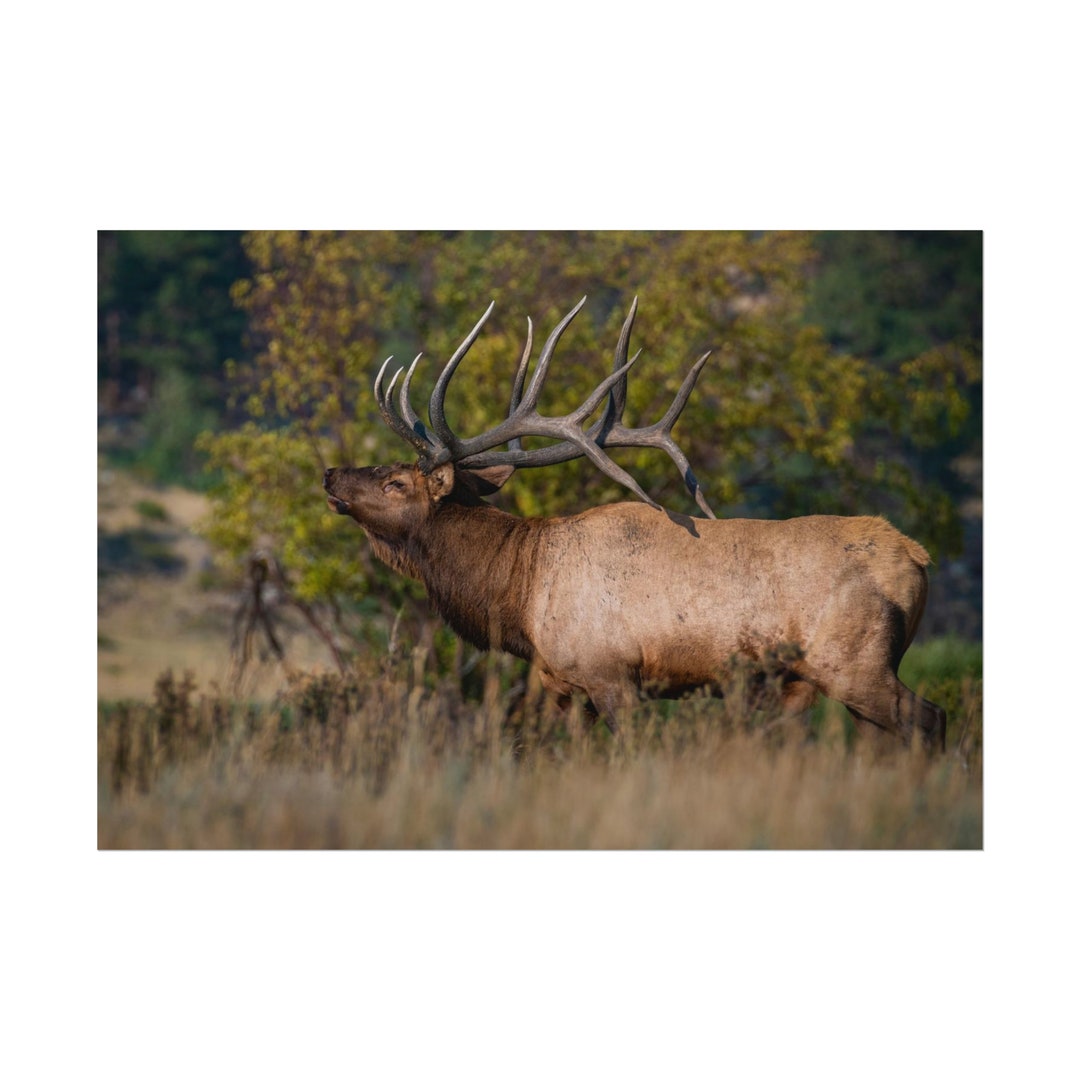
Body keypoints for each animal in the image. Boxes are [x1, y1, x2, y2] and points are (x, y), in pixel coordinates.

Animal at [323, 297, 946, 751]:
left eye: (396, 482)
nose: (330, 474)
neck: (519, 594)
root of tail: (917, 557)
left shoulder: (612, 674)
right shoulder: (565, 687)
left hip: (853, 661)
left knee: (930, 718)